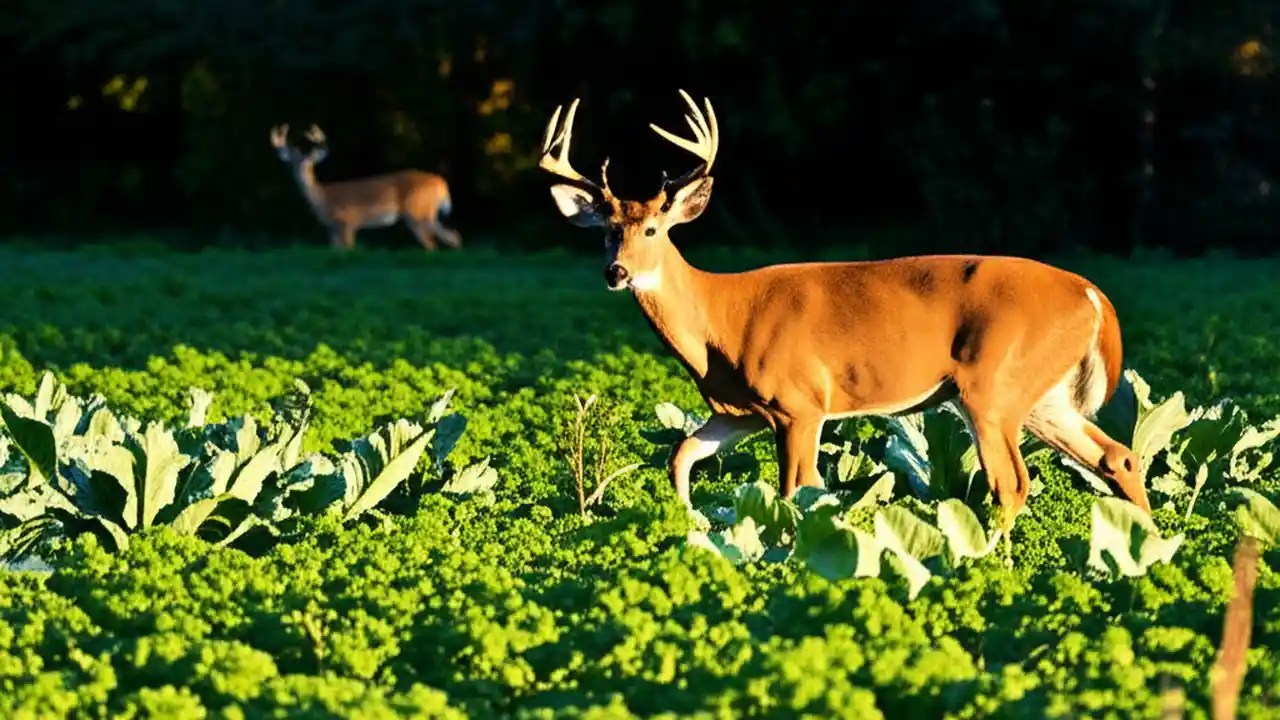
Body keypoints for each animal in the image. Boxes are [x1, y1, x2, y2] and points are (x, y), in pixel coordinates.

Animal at [269, 123, 461, 251]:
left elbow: (348, 249)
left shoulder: (348, 221)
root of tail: (441, 183)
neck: (324, 199)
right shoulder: (332, 227)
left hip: (418, 210)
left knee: (434, 241)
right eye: (293, 161)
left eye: (310, 162)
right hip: (427, 212)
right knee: (453, 236)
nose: (301, 172)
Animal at [537, 90, 1153, 546]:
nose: (617, 272)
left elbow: (798, 490)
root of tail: (1093, 295)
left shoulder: (800, 403)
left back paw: (987, 565)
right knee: (1118, 456)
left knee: (1011, 483)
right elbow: (681, 456)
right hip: (1040, 392)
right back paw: (1148, 547)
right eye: (607, 231)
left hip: (992, 385)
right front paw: (692, 528)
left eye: (651, 229)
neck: (719, 322)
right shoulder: (739, 411)